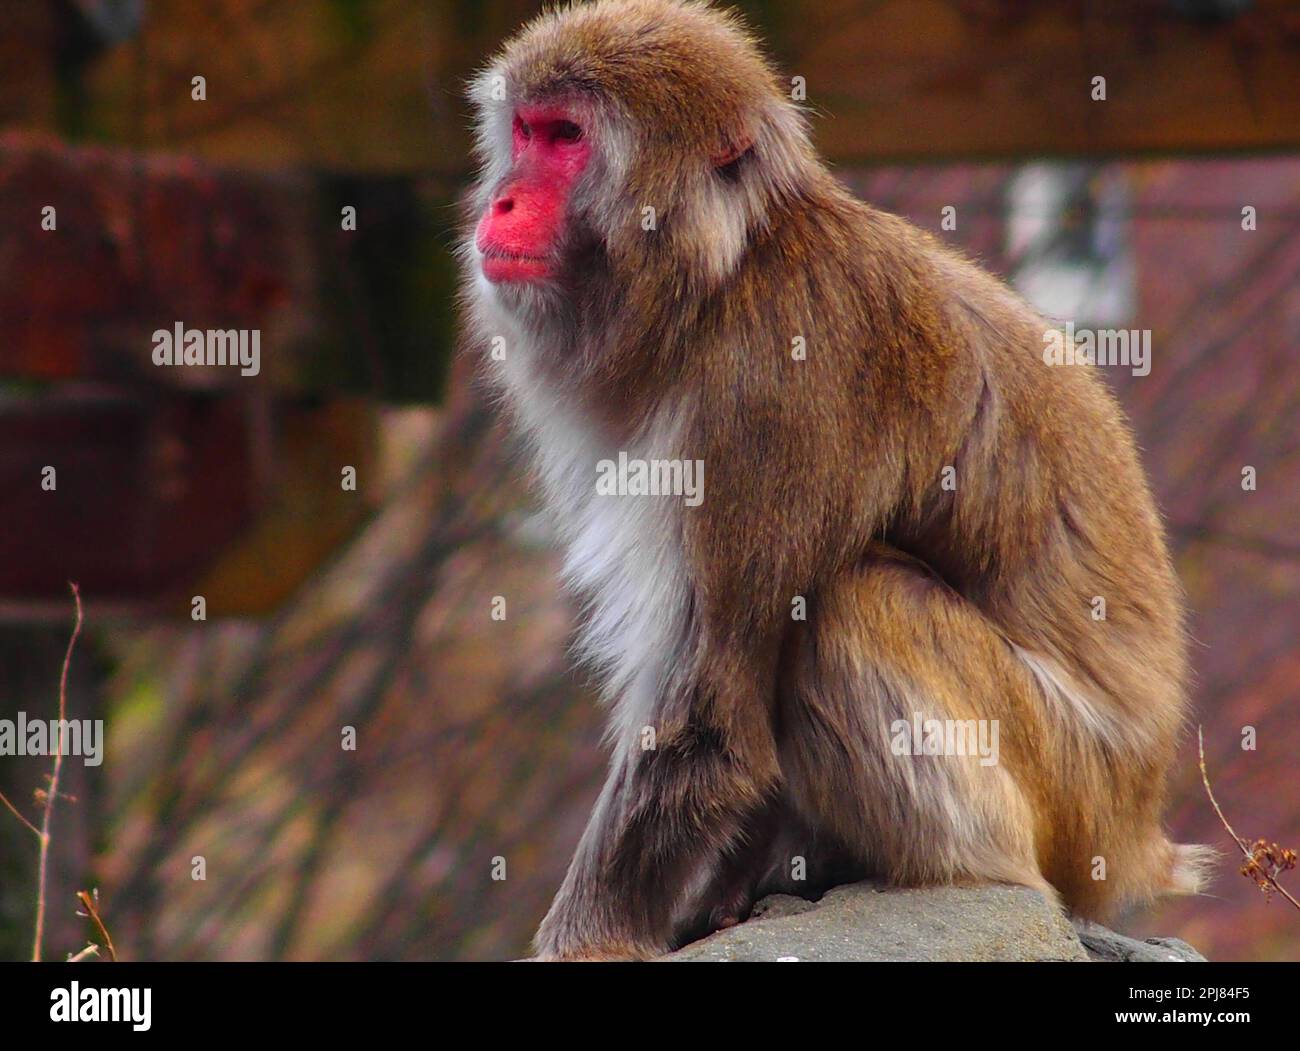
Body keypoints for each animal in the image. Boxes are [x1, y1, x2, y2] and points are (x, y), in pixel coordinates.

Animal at [460, 0, 1211, 961]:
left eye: (566, 138)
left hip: (1068, 795)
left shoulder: (770, 386)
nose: (503, 200)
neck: (723, 274)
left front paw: (588, 935)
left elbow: (708, 720)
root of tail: (1139, 830)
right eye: (524, 130)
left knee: (852, 601)